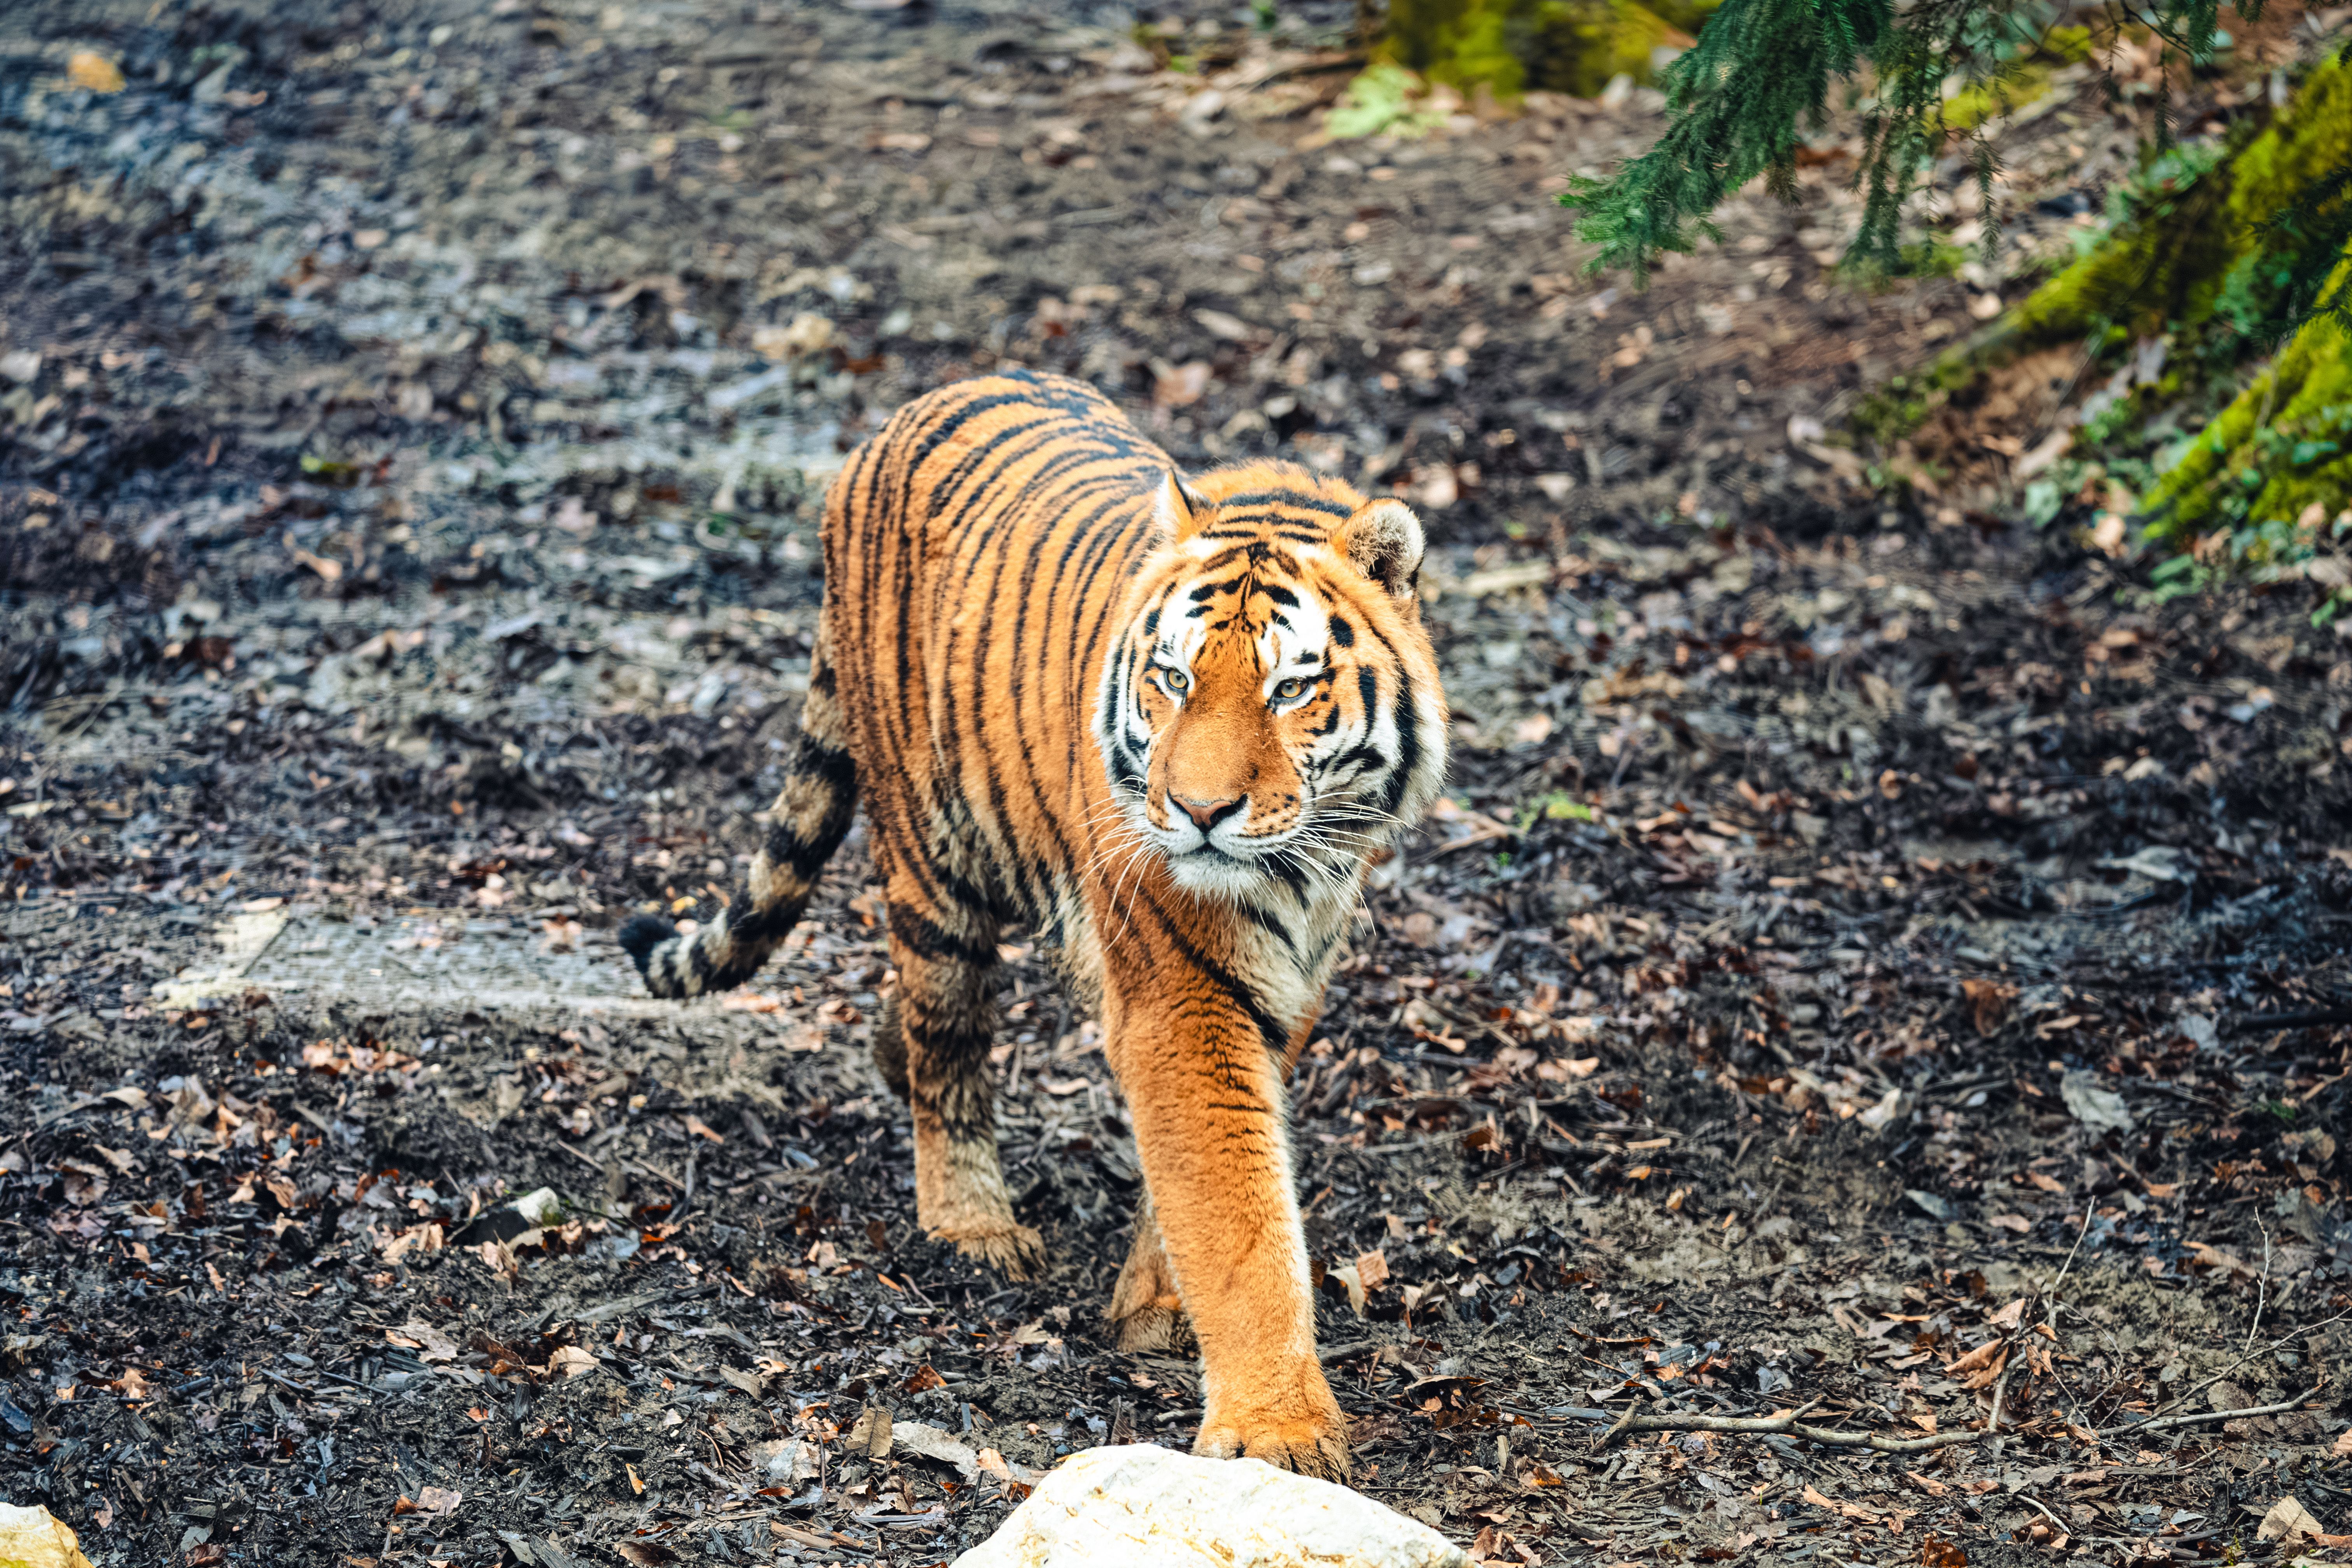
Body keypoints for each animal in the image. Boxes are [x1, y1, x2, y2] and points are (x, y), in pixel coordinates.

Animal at [618, 368, 1447, 1480]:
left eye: (1290, 689)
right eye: (1174, 678)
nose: (1197, 812)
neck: (1301, 864)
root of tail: (897, 419)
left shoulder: (1289, 979)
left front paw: (1155, 1308)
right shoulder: (1182, 992)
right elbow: (1236, 1212)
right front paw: (1279, 1433)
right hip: (932, 861)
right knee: (946, 1044)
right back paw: (970, 1224)